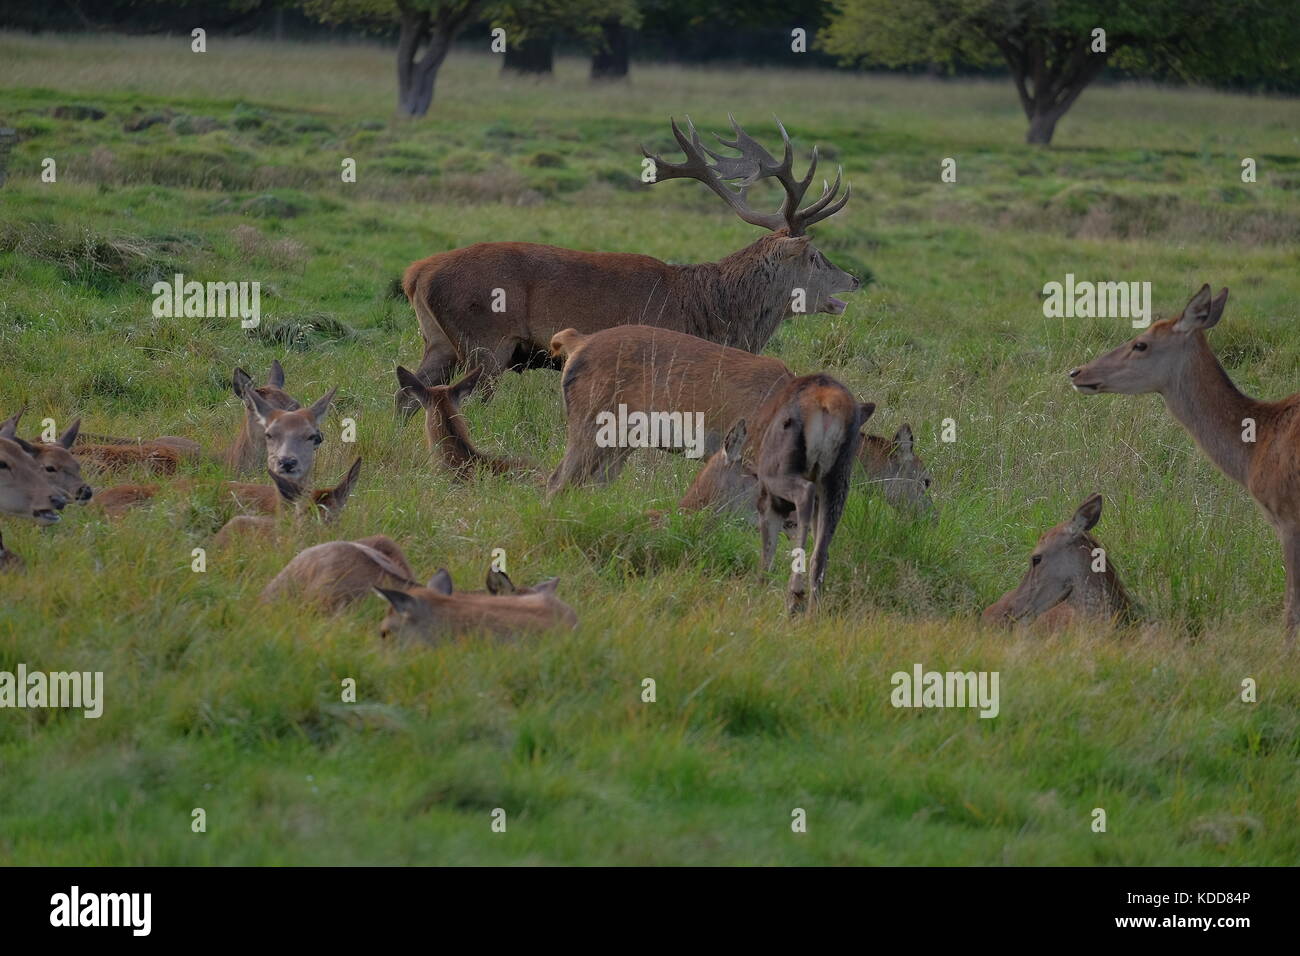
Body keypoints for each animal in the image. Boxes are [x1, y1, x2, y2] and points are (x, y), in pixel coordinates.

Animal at [397, 115, 858, 414]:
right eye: (816, 256)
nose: (853, 279)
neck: (711, 314)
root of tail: (415, 274)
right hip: (486, 342)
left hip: (439, 341)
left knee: (407, 394)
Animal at [546, 325, 934, 514]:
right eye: (926, 479)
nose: (930, 516)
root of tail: (576, 343)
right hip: (590, 429)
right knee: (557, 481)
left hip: (620, 444)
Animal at [753, 374, 873, 613]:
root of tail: (828, 403)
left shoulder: (767, 498)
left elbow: (768, 549)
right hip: (838, 477)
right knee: (822, 550)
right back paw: (812, 609)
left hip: (779, 471)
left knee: (803, 494)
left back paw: (795, 594)